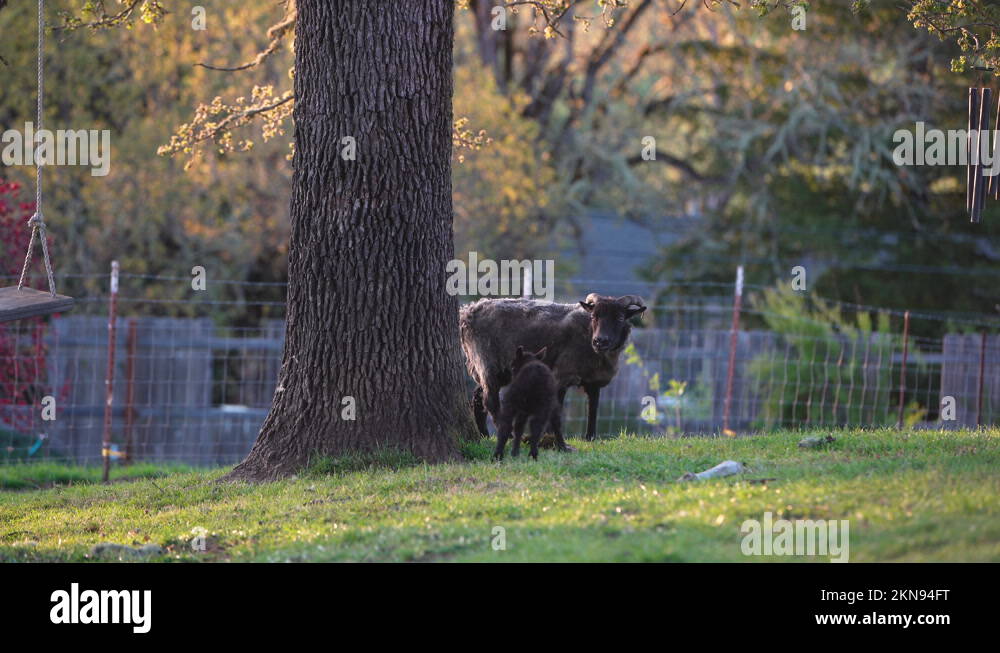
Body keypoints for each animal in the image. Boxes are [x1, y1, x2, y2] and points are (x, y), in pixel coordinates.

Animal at [460, 293, 647, 446]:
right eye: (594, 316)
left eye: (620, 318)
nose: (600, 341)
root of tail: (468, 311)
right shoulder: (561, 374)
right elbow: (556, 408)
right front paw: (550, 438)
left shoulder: (593, 382)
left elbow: (593, 409)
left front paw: (590, 438)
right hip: (486, 360)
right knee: (490, 399)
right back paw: (509, 435)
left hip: (499, 369)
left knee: (478, 397)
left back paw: (484, 435)